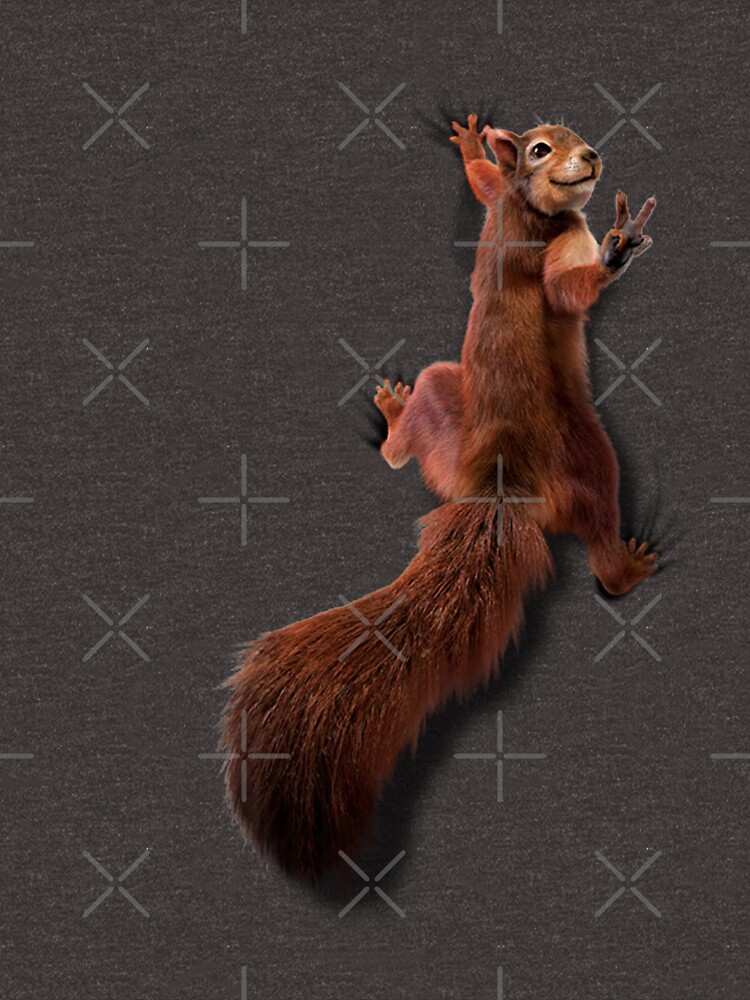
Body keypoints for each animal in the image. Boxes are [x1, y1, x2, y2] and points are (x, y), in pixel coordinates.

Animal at [220, 116, 658, 880]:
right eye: (542, 148)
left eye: (571, 132)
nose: (593, 156)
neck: (530, 208)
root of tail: (495, 482)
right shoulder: (554, 248)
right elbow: (570, 290)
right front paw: (617, 247)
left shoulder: (498, 208)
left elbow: (481, 185)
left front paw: (470, 145)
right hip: (590, 455)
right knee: (601, 533)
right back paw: (625, 566)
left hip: (444, 401)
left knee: (410, 445)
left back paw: (396, 422)